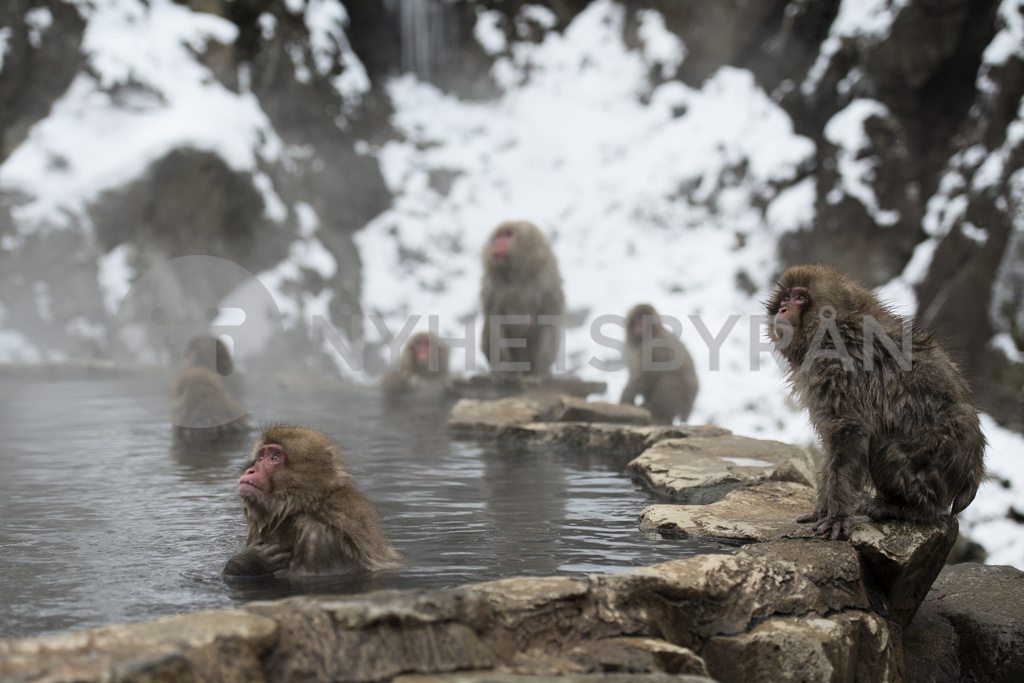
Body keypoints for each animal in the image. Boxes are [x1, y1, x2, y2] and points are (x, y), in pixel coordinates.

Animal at [224, 424, 403, 577]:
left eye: (275, 457)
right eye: (261, 457)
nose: (250, 470)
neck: (301, 507)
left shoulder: (317, 538)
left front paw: (251, 561)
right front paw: (249, 561)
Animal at [480, 220, 566, 377]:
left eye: (508, 234)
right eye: (499, 235)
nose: (497, 243)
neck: (517, 271)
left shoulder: (548, 279)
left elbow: (550, 317)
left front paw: (542, 369)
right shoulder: (491, 286)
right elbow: (494, 316)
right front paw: (502, 368)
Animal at [766, 264, 986, 541]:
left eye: (801, 297)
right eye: (786, 297)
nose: (783, 309)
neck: (834, 329)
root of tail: (973, 473)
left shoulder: (841, 372)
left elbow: (849, 434)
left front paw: (837, 516)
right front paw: (822, 511)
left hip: (933, 466)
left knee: (886, 449)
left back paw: (911, 511)